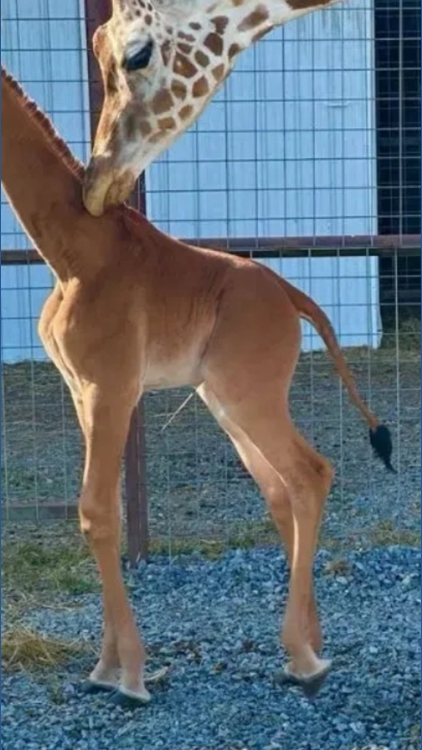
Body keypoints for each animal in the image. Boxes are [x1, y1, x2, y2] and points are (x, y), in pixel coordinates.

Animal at [2, 64, 394, 708]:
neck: (73, 255)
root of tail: (292, 295)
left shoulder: (112, 388)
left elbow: (96, 510)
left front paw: (130, 676)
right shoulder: (83, 393)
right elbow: (106, 511)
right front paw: (105, 666)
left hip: (249, 396)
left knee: (310, 474)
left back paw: (304, 659)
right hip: (225, 404)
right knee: (280, 489)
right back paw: (311, 645)